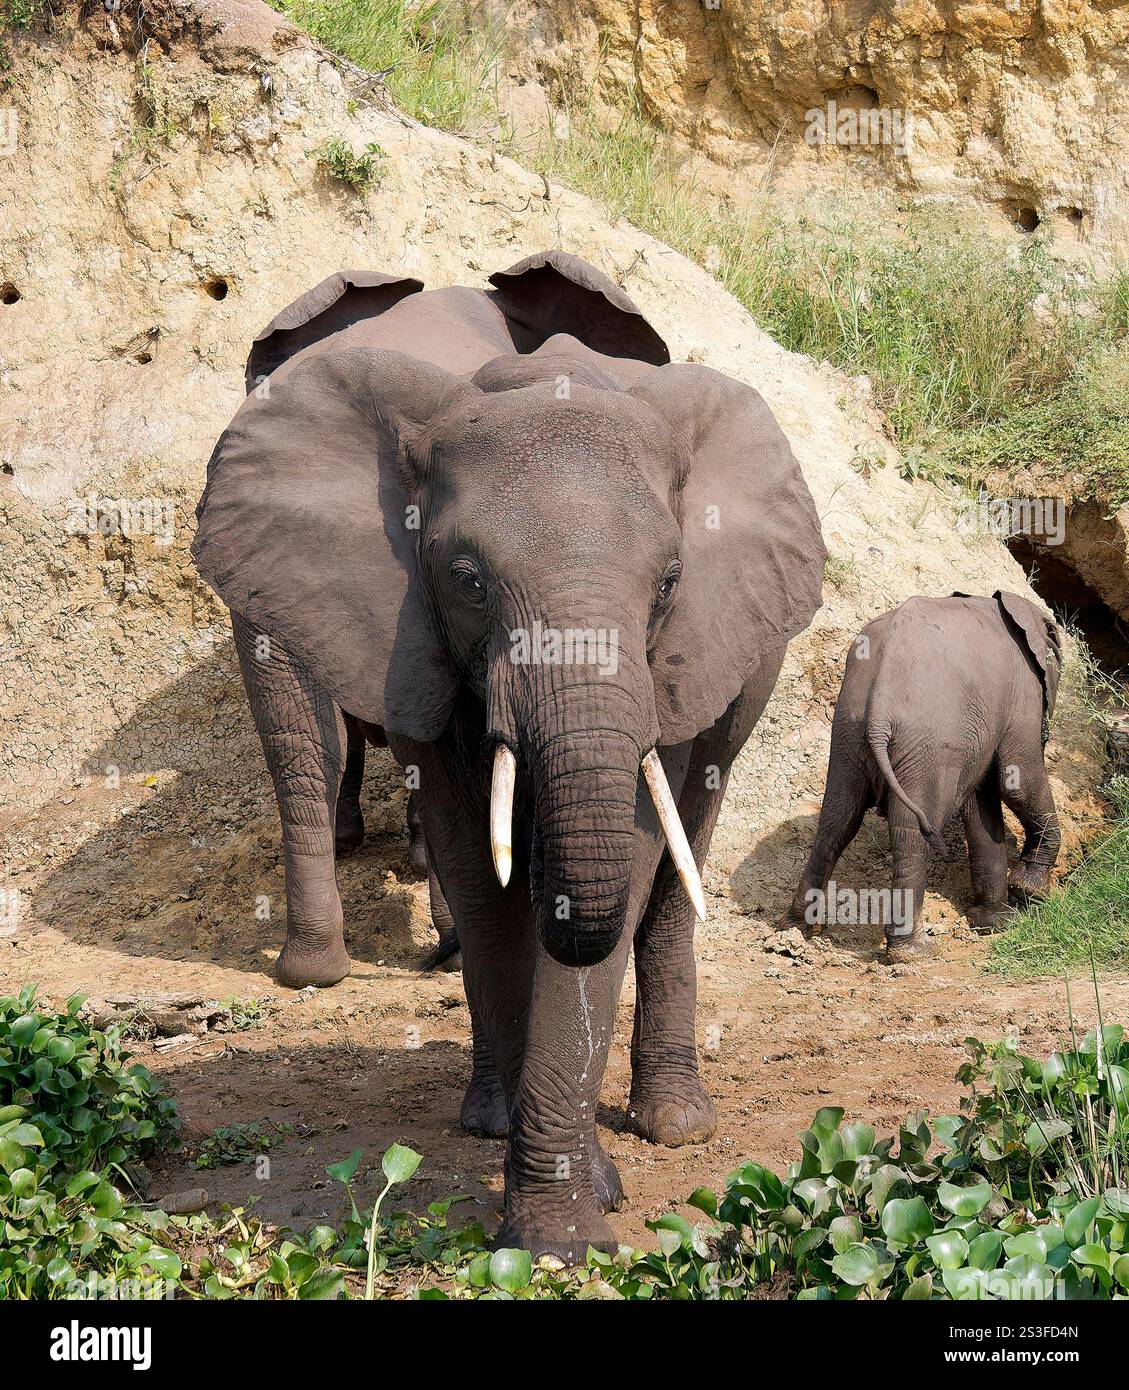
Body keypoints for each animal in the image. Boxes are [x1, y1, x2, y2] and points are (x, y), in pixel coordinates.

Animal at [192, 250, 826, 1259]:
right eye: (466, 579)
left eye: (669, 582)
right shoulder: (408, 634)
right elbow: (481, 872)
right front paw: (562, 1212)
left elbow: (621, 868)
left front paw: (563, 1226)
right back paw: (493, 1116)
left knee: (684, 848)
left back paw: (674, 1125)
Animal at [788, 590, 1063, 960]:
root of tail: (880, 708)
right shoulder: (1022, 691)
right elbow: (1016, 779)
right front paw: (1030, 891)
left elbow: (982, 803)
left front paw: (996, 922)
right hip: (926, 741)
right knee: (913, 828)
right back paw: (913, 951)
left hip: (848, 729)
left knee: (837, 818)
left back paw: (796, 927)